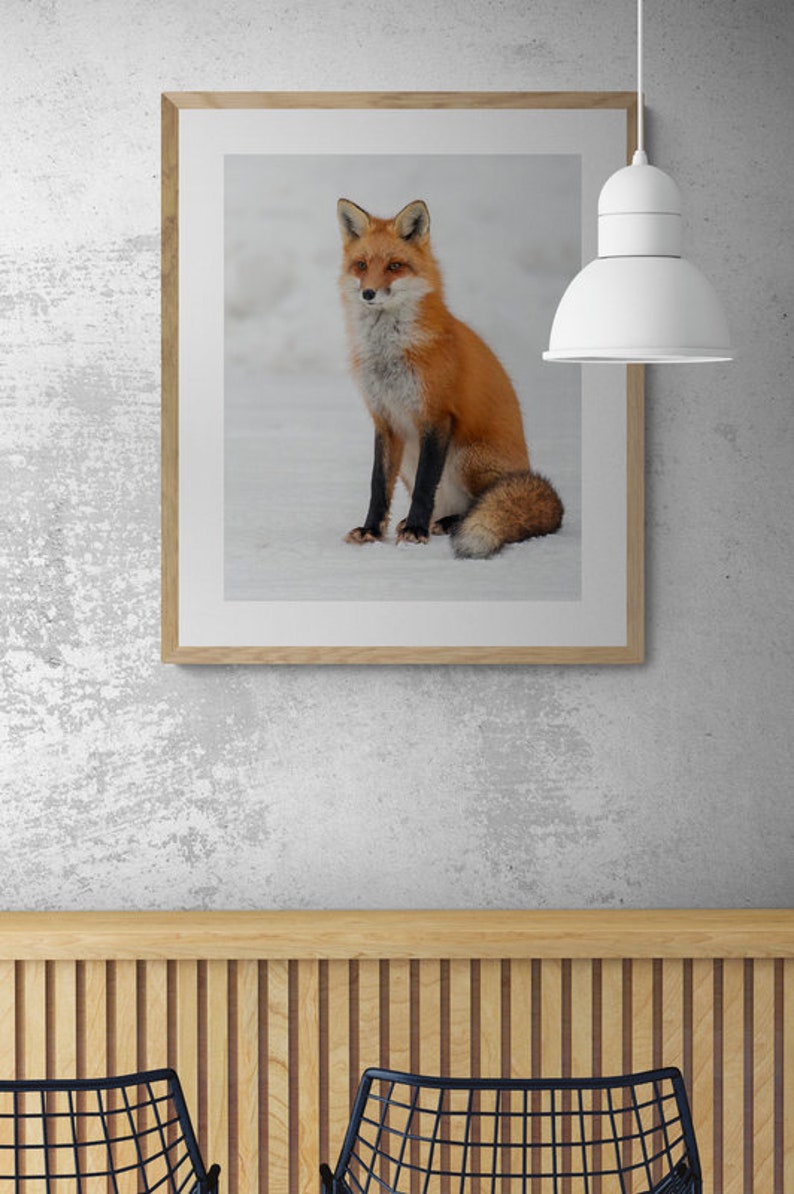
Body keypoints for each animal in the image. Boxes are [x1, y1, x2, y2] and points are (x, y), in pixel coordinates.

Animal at [336, 197, 564, 559]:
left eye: (394, 266)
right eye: (361, 265)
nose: (368, 293)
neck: (390, 353)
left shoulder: (436, 414)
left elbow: (425, 484)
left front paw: (415, 531)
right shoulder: (385, 419)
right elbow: (377, 486)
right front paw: (371, 531)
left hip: (465, 456)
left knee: (475, 505)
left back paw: (445, 523)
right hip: (409, 458)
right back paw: (433, 521)